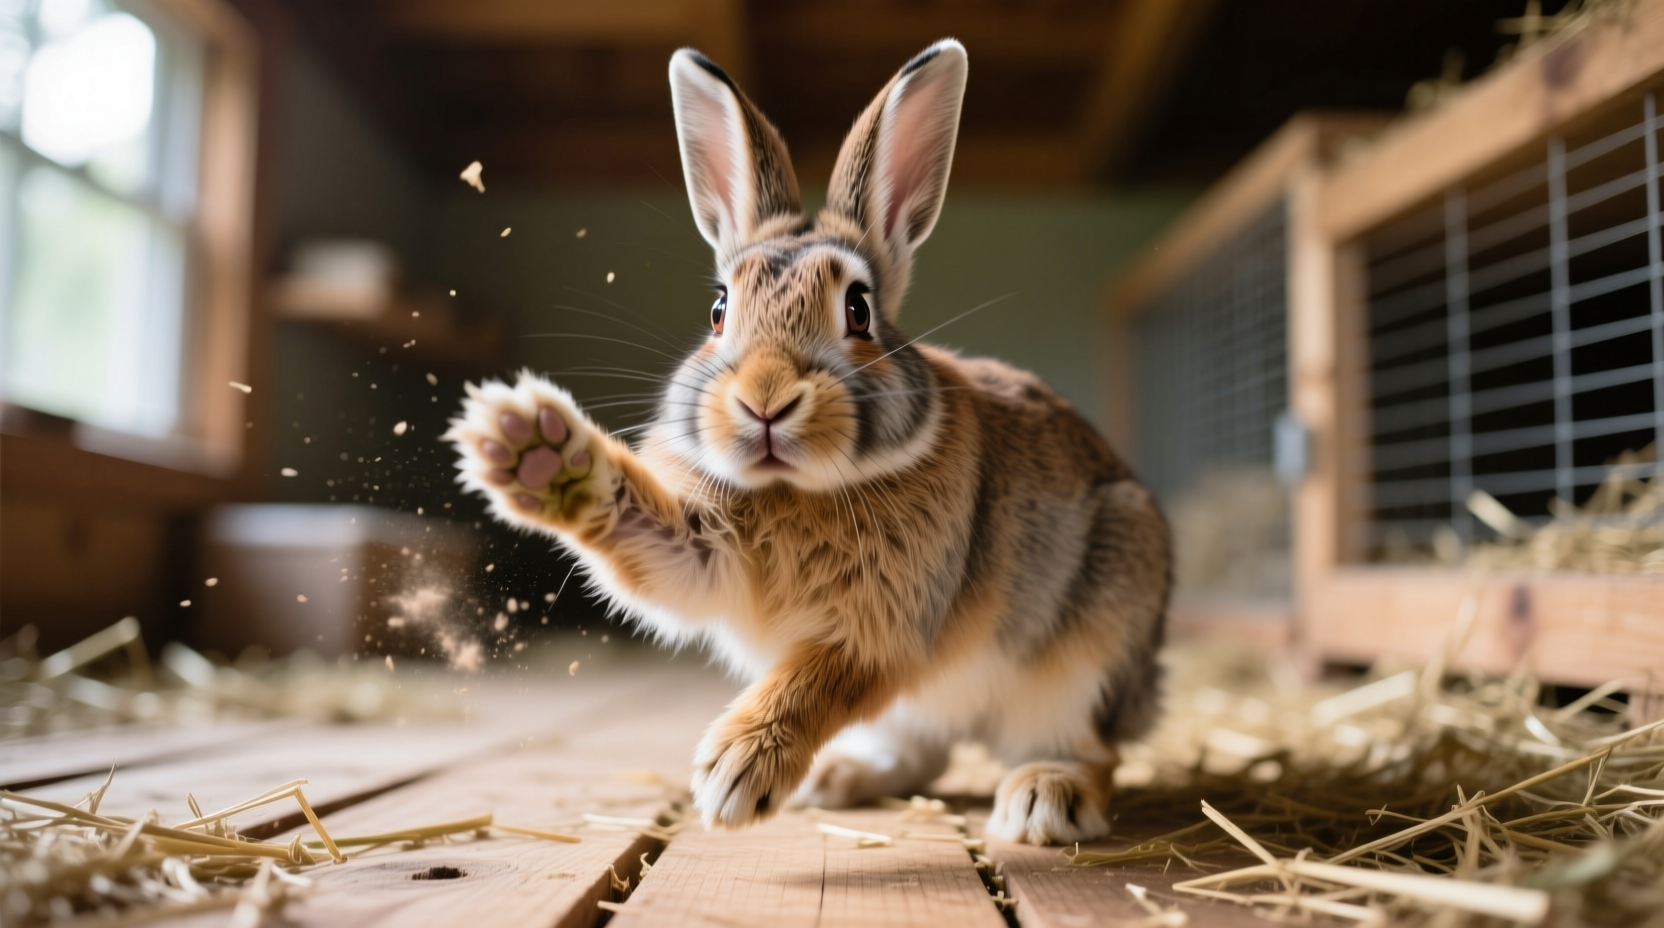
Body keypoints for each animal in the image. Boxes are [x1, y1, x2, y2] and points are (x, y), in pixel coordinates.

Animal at [446, 38, 1170, 845]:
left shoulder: (885, 628)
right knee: (921, 754)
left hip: (1092, 644)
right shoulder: (704, 551)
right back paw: (837, 779)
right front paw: (532, 451)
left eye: (857, 309)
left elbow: (819, 680)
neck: (794, 487)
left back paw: (1045, 797)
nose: (765, 401)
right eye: (719, 309)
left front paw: (735, 773)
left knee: (1094, 751)